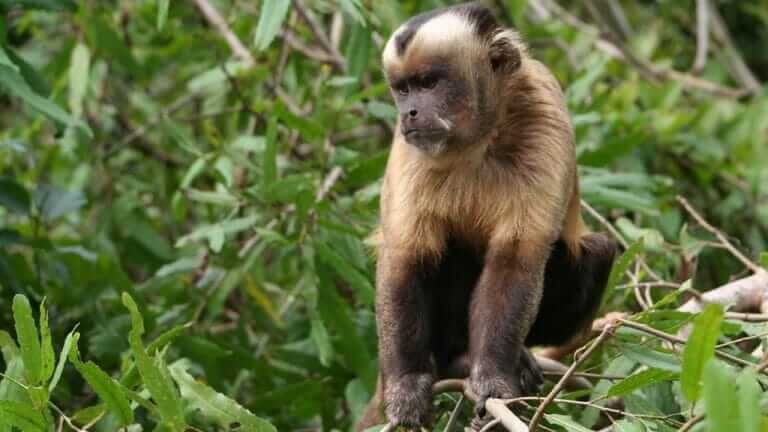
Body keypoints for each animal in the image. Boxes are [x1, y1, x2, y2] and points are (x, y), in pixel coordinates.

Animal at [357, 3, 618, 430]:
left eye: (428, 83)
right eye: (403, 88)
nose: (408, 112)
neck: (478, 139)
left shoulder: (544, 115)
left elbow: (516, 258)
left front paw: (493, 378)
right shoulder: (409, 147)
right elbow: (406, 257)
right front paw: (406, 385)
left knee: (599, 250)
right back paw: (454, 359)